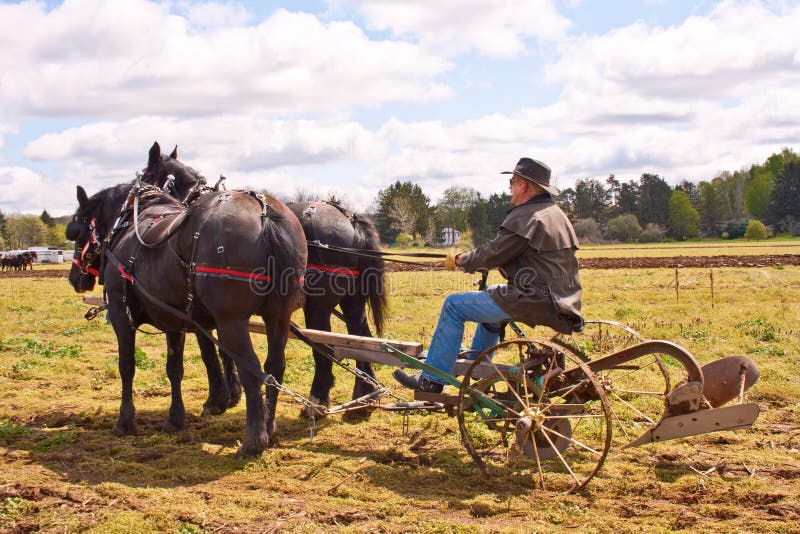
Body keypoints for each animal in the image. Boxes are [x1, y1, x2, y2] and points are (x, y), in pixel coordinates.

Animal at [65, 179, 307, 456]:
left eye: (75, 230)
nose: (74, 279)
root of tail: (265, 212)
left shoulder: (120, 313)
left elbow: (127, 366)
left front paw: (124, 421)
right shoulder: (174, 319)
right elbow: (175, 369)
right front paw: (176, 419)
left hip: (231, 320)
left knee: (251, 368)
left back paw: (254, 441)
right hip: (278, 317)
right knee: (274, 367)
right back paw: (270, 427)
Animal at [144, 142, 388, 417]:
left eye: (147, 173)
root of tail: (349, 218)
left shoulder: (203, 310)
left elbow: (211, 351)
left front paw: (218, 399)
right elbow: (225, 351)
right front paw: (232, 394)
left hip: (318, 306)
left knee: (327, 349)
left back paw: (317, 402)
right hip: (352, 301)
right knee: (362, 337)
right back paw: (365, 398)